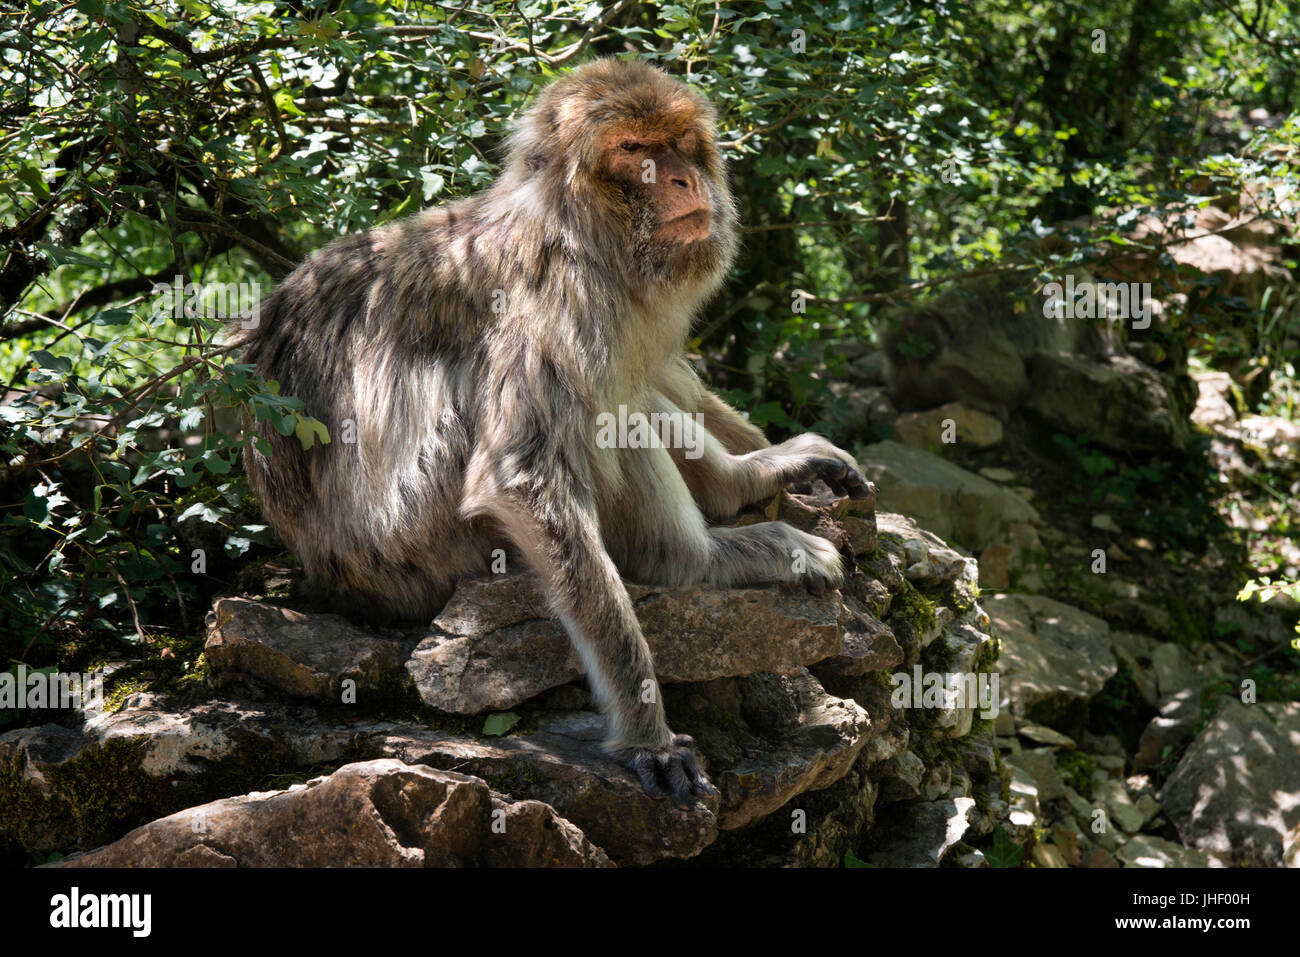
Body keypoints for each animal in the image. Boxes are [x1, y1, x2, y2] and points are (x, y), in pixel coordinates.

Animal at [236, 57, 870, 806]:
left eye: (678, 143)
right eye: (633, 149)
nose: (683, 181)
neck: (581, 231)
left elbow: (655, 378)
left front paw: (762, 465)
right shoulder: (561, 297)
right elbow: (523, 474)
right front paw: (646, 731)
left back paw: (742, 485)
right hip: (426, 552)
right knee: (594, 420)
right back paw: (699, 558)